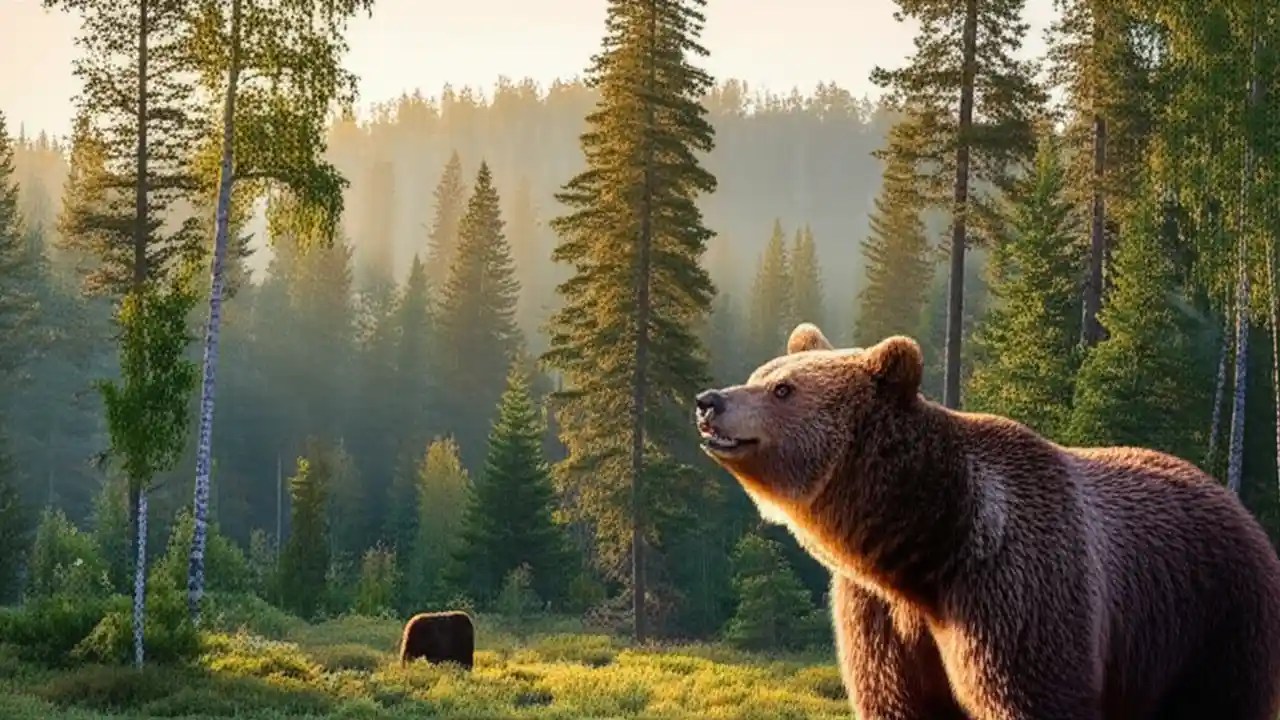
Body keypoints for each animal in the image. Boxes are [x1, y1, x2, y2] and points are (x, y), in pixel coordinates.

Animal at [693, 322, 1280, 720]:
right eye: (760, 374)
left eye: (783, 390)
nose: (709, 401)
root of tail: (1240, 509)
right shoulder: (882, 618)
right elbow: (894, 698)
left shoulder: (1015, 590)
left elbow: (1036, 693)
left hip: (1210, 623)